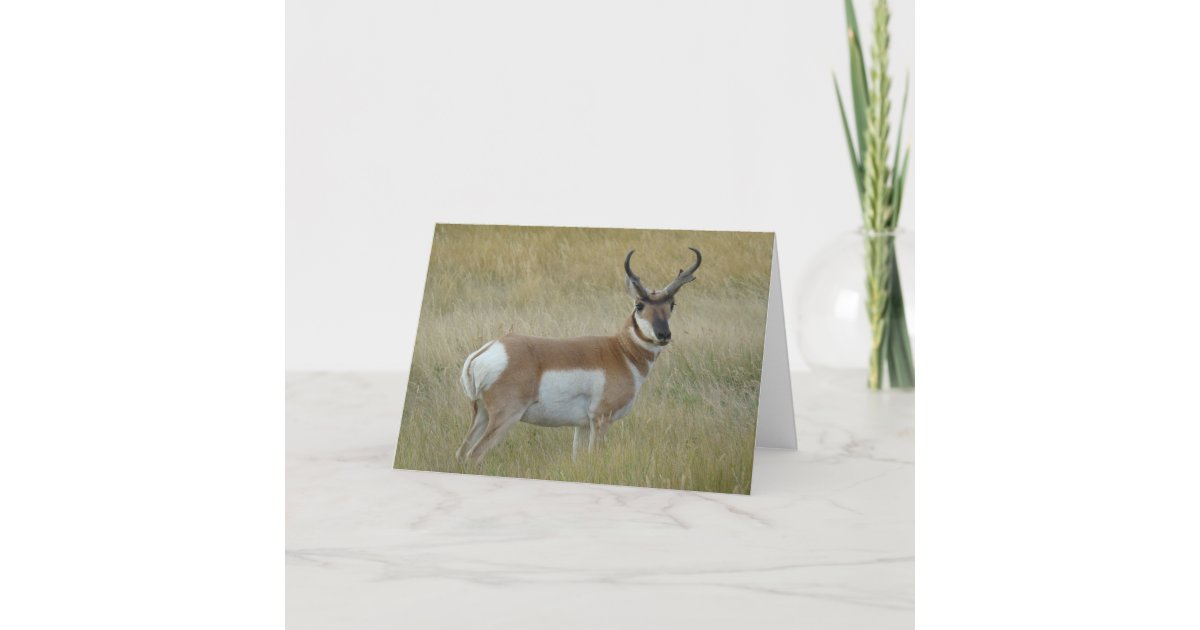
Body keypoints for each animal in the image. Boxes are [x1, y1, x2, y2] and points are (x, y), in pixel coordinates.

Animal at [456, 247, 703, 462]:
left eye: (672, 304)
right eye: (639, 304)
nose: (663, 334)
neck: (621, 352)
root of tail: (487, 351)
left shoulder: (582, 425)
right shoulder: (601, 420)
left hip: (481, 414)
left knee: (461, 453)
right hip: (506, 417)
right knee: (473, 455)